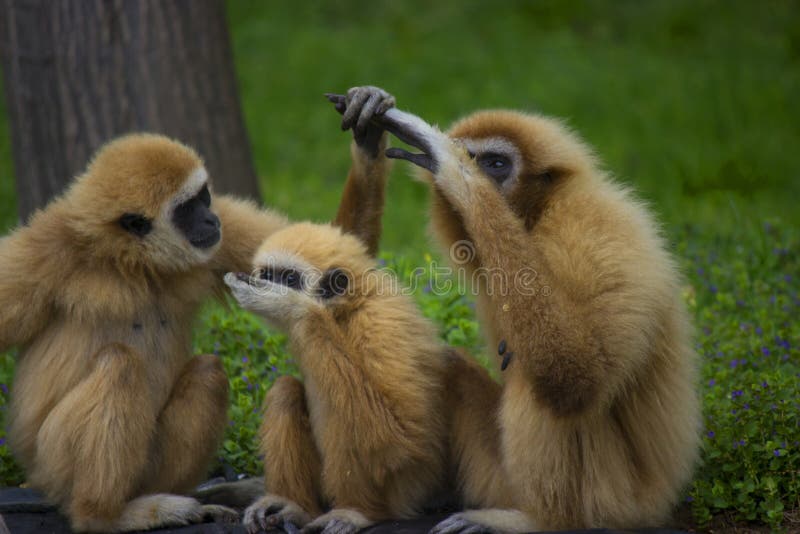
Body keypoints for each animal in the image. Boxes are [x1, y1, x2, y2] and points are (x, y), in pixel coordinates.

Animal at [0, 87, 398, 532]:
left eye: (203, 197)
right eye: (187, 209)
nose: (209, 218)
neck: (131, 263)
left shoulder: (216, 238)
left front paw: (367, 138)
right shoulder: (44, 252)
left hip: (146, 467)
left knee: (207, 371)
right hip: (53, 462)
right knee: (120, 365)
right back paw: (104, 516)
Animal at [224, 222, 450, 534]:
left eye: (289, 278)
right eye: (268, 274)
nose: (269, 282)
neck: (347, 309)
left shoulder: (378, 324)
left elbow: (399, 434)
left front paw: (291, 305)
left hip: (400, 493)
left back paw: (356, 511)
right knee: (286, 389)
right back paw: (292, 505)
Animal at [353, 104, 703, 532]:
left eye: (496, 163)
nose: (481, 172)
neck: (545, 211)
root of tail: (659, 501)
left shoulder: (594, 232)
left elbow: (581, 371)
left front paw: (455, 170)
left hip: (615, 501)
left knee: (541, 384)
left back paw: (537, 520)